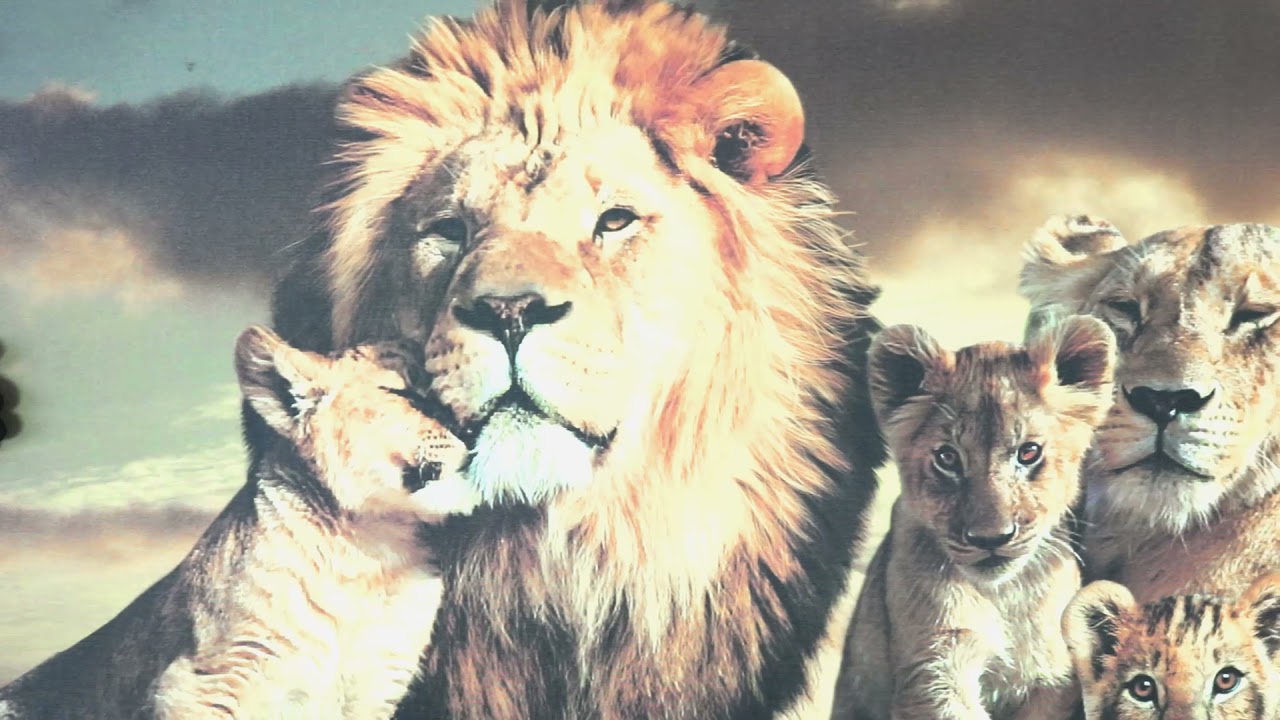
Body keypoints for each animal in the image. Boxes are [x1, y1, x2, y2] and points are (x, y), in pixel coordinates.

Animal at [832, 316, 1116, 720]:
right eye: (947, 458)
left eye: (1028, 453)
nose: (990, 539)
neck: (1003, 595)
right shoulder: (935, 665)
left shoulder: (1052, 677)